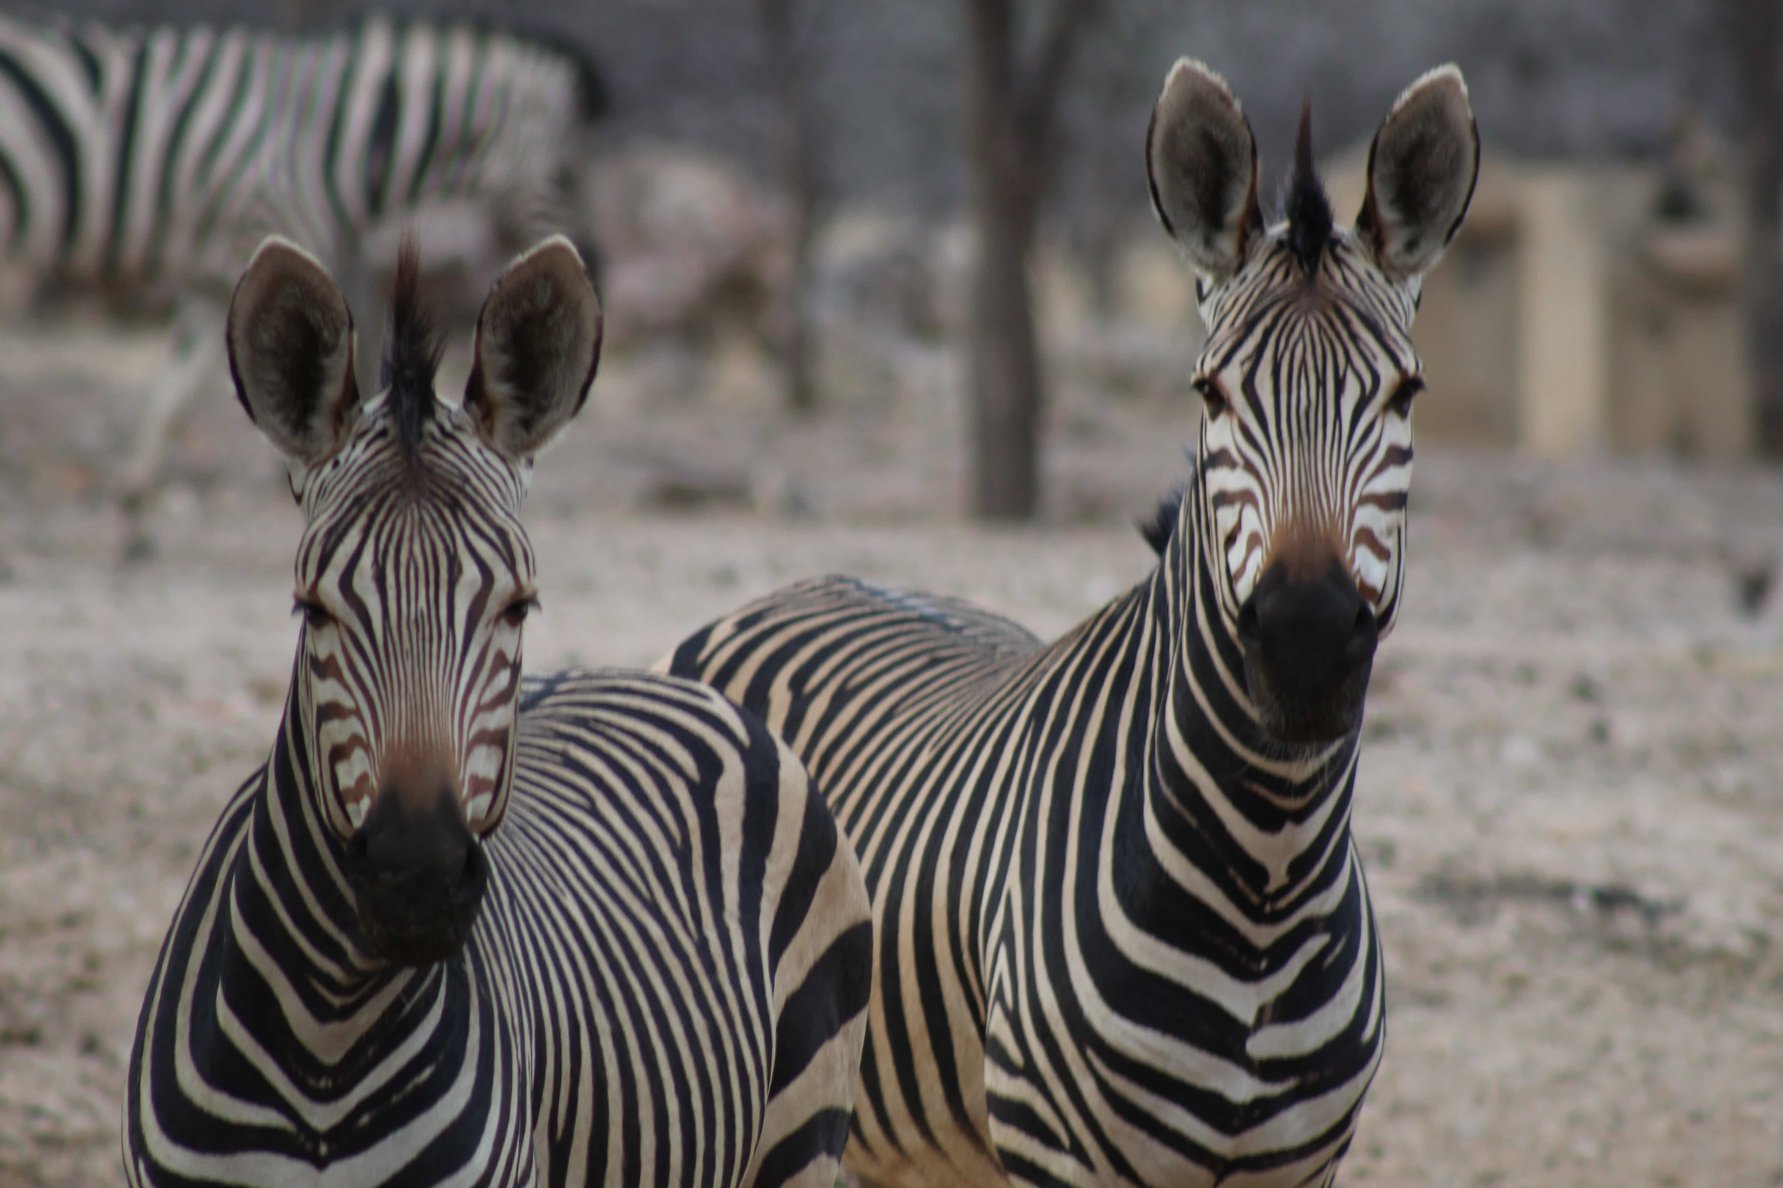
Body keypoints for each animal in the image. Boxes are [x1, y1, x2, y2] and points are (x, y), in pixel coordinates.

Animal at [0, 6, 603, 551]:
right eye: (566, 174)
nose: (595, 267)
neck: (338, 136)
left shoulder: (212, 284)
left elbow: (175, 395)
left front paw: (132, 504)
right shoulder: (272, 231)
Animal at [124, 233, 873, 1186]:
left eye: (518, 607)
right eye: (310, 610)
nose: (416, 878)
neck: (327, 1037)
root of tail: (641, 672)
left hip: (805, 1121)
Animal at [664, 61, 1479, 1188]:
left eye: (1405, 393)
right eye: (1210, 394)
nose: (1306, 644)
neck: (1267, 871)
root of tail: (801, 583)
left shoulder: (1301, 1167)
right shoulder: (1061, 1158)